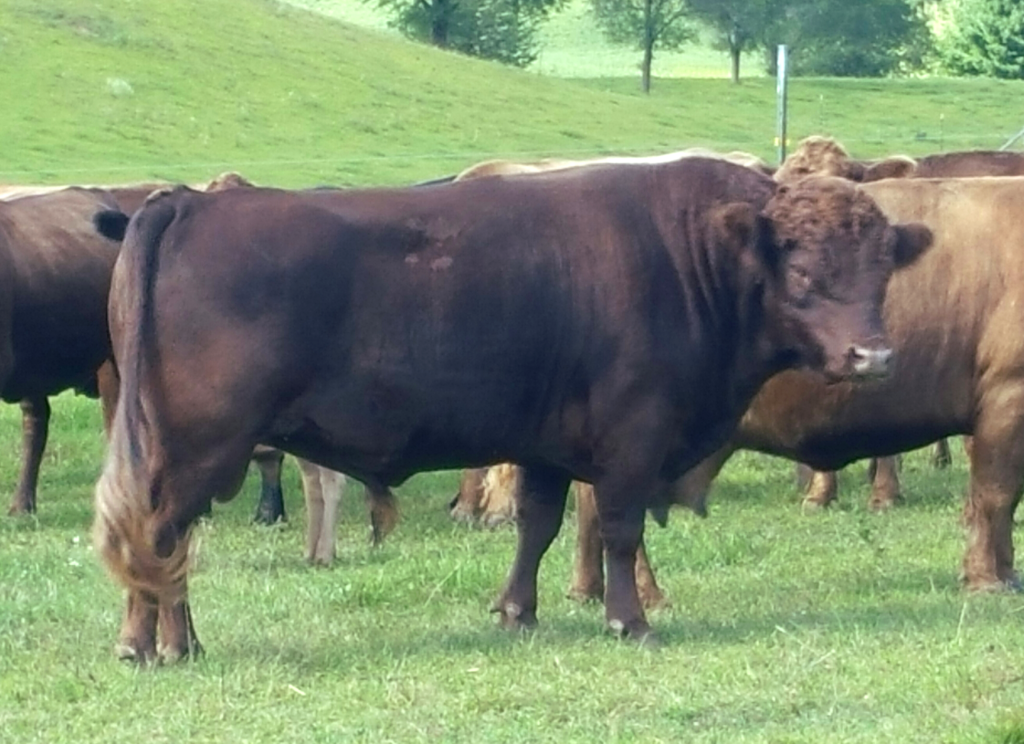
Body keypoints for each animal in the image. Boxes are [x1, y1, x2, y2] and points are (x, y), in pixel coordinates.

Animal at [91, 157, 929, 663]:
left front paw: (516, 612)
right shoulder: (633, 440)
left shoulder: (547, 445)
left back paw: (158, 641)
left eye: (881, 265)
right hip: (198, 449)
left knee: (154, 540)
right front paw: (630, 620)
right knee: (162, 538)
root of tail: (189, 204)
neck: (691, 256)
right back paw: (164, 644)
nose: (874, 356)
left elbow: (538, 525)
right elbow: (619, 533)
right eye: (803, 271)